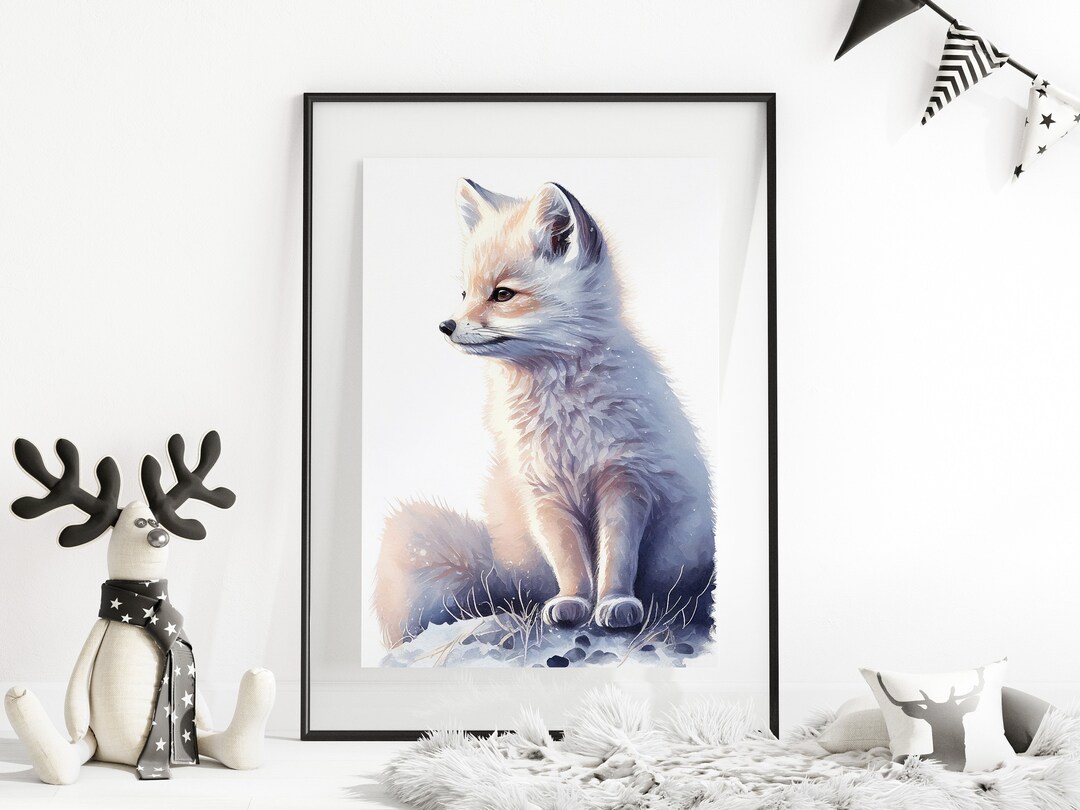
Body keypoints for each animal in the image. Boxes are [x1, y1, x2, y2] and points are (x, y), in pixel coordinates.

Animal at [374, 179, 716, 649]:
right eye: (464, 293)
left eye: (502, 294)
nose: (445, 326)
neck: (563, 415)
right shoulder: (542, 491)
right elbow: (569, 559)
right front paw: (573, 602)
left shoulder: (625, 478)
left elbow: (617, 554)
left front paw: (615, 603)